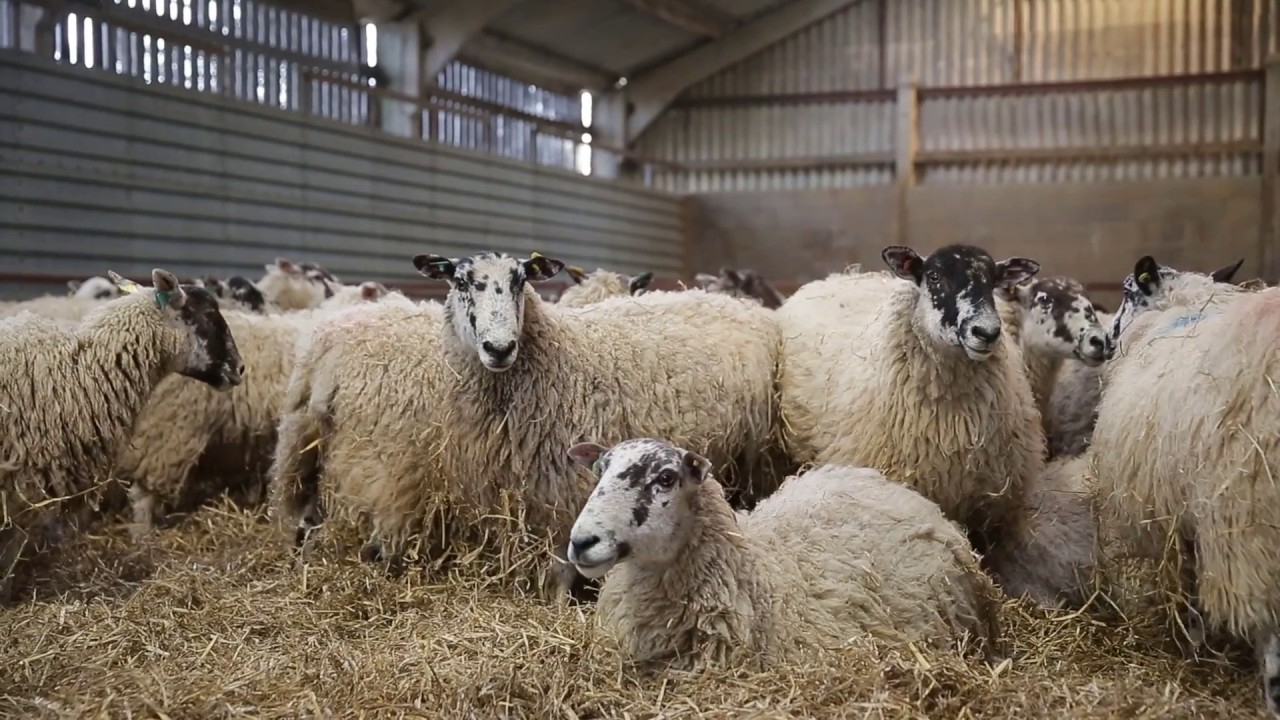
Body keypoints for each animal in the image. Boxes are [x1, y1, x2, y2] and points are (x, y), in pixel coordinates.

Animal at [776, 244, 1043, 558]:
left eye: (992, 281)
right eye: (935, 276)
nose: (986, 332)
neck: (952, 420)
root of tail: (841, 275)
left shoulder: (988, 514)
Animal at [1088, 259, 1280, 715]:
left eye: (1127, 292)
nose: (1103, 339)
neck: (1184, 306)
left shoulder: (1197, 522)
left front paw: (1194, 648)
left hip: (1253, 529)